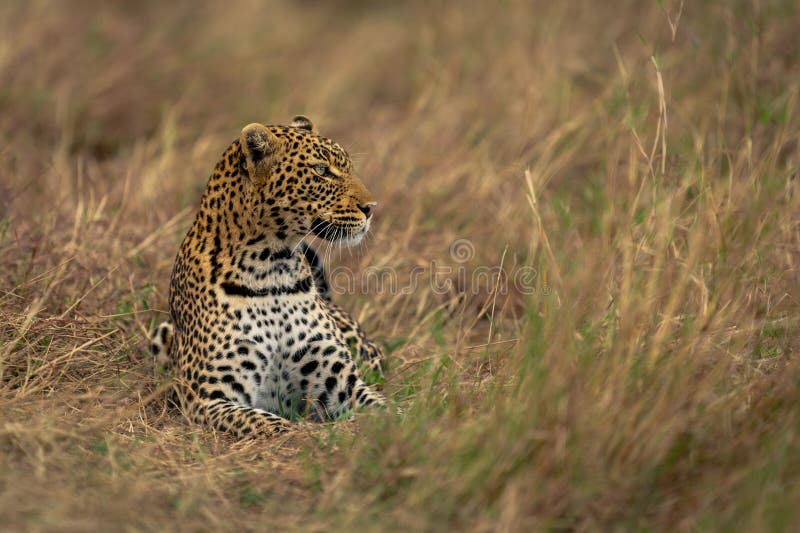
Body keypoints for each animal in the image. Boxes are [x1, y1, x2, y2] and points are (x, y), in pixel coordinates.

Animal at [149, 116, 385, 438]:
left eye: (349, 168)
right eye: (321, 171)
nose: (371, 208)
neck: (272, 266)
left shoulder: (344, 384)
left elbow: (389, 410)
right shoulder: (207, 396)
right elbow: (271, 424)